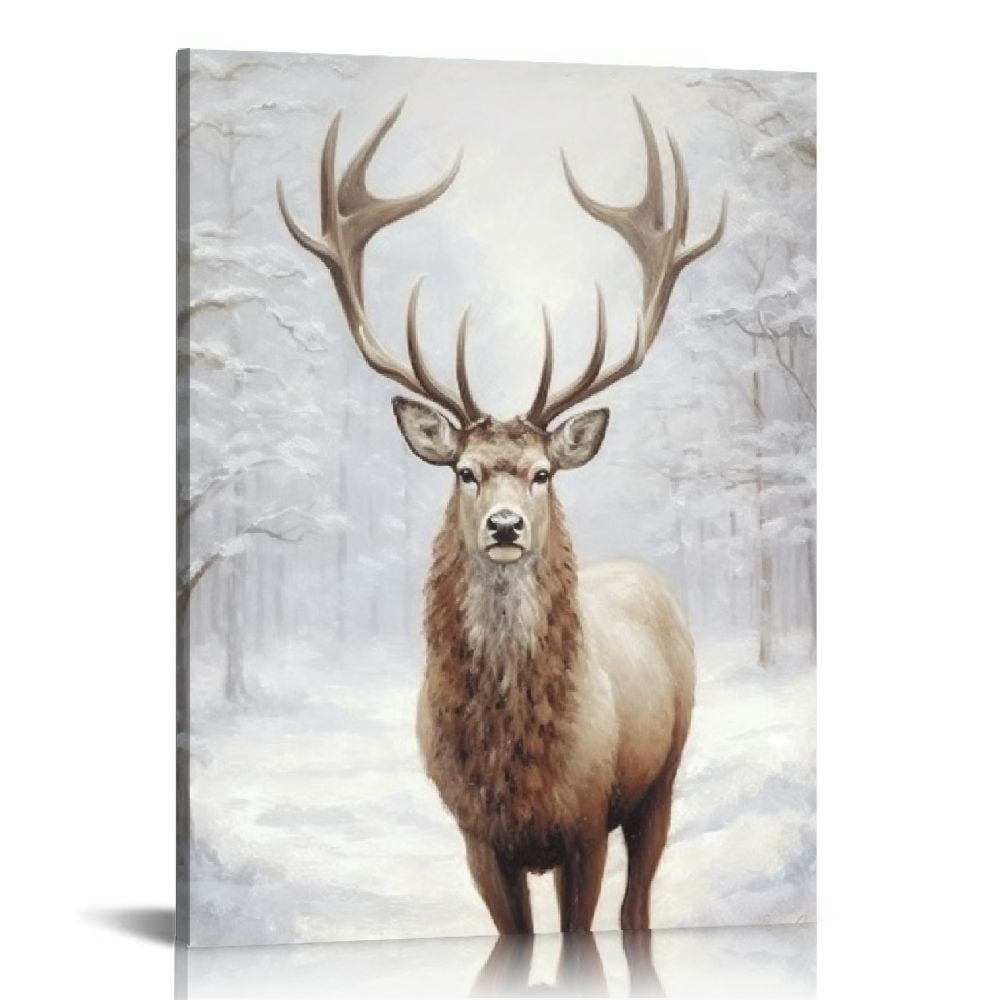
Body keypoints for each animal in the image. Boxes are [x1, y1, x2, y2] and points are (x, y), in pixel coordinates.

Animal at [277, 97, 725, 936]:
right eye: (466, 471)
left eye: (544, 473)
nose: (507, 526)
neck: (514, 766)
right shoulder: (478, 838)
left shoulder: (586, 822)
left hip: (662, 776)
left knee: (638, 907)